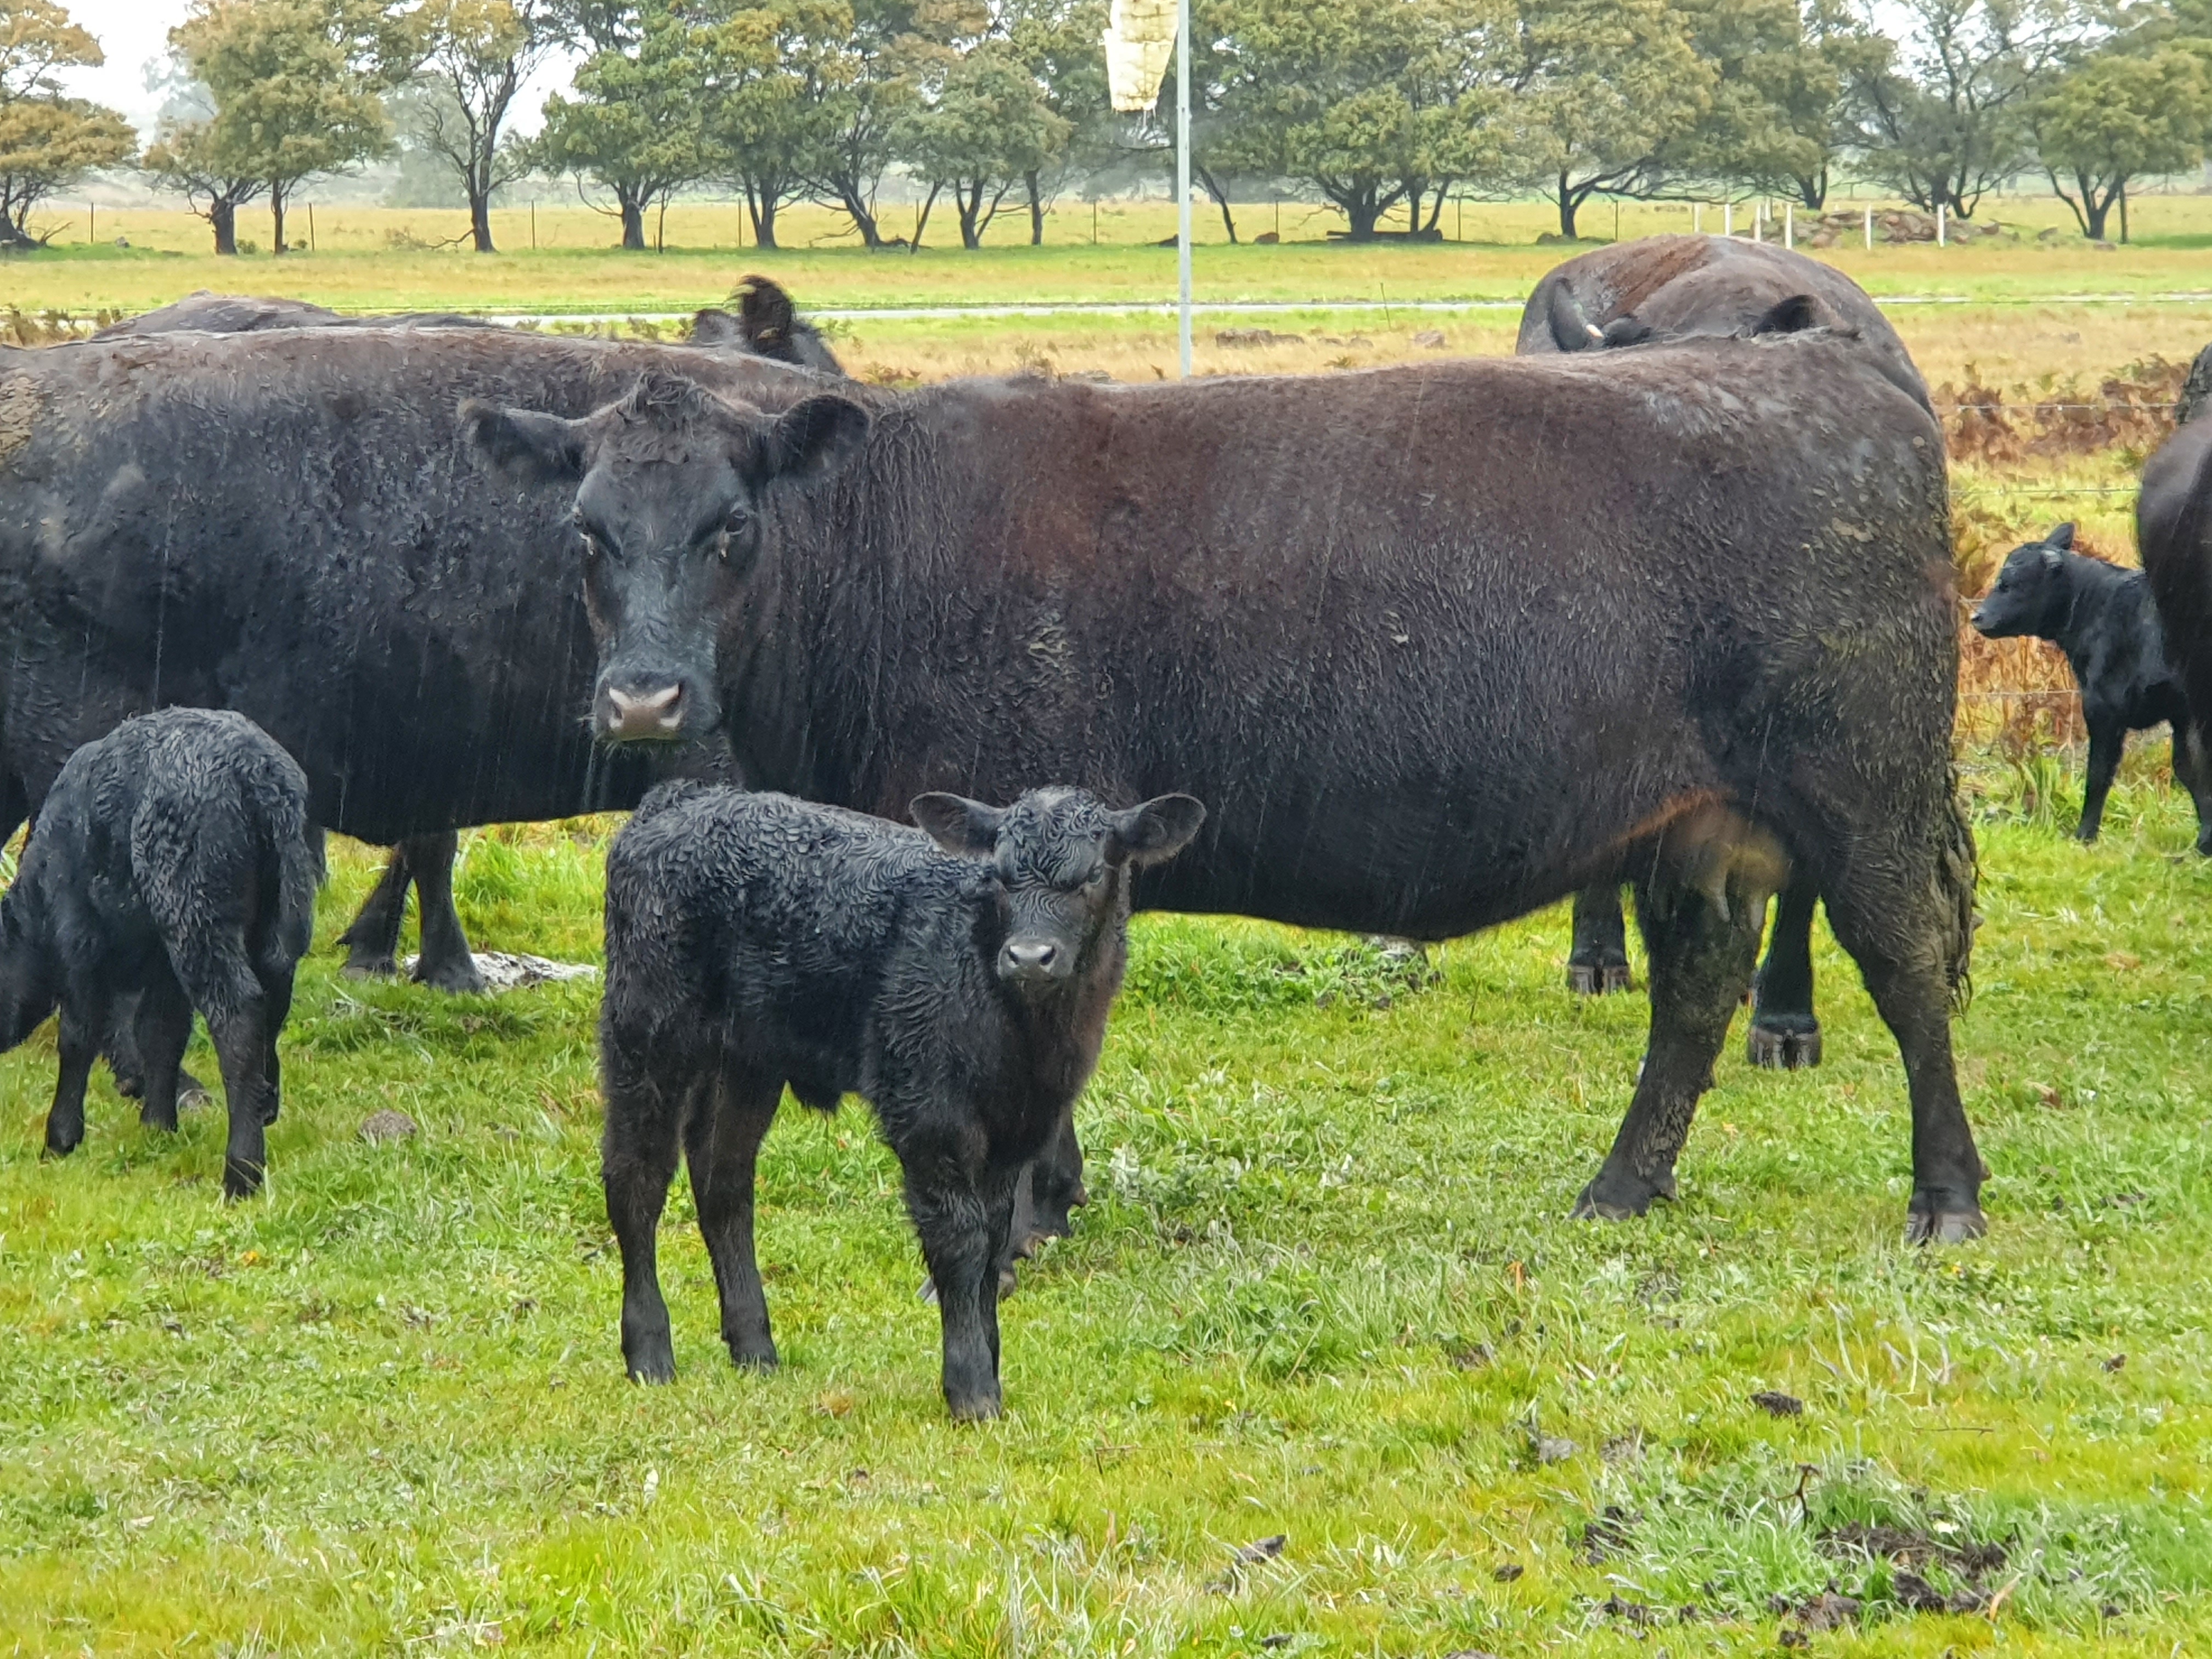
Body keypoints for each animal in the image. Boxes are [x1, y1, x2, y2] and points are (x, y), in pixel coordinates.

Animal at [0, 708, 322, 1198]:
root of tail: (257, 773)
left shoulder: (78, 938)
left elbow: (79, 1035)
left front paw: (60, 1140)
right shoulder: (159, 963)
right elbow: (162, 1032)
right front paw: (157, 1126)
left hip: (194, 907)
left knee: (239, 1014)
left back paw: (242, 1173)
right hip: (279, 908)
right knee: (273, 1000)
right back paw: (264, 1107)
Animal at [462, 334, 1987, 1244]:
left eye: (731, 529)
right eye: (585, 532)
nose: (644, 699)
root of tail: (1823, 361)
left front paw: (1025, 1216)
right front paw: (1056, 1199)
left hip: (1868, 792)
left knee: (1910, 970)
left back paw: (1948, 1195)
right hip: (1695, 827)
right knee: (1697, 992)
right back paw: (1621, 1188)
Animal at [600, 781, 1203, 1418]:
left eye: (1091, 875)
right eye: (999, 875)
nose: (1029, 957)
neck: (1028, 1038)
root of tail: (681, 799)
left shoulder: (1018, 1125)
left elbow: (996, 1237)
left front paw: (991, 1363)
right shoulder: (927, 1109)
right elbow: (960, 1240)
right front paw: (971, 1388)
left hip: (746, 1059)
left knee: (723, 1181)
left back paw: (755, 1347)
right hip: (646, 1026)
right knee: (636, 1178)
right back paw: (649, 1353)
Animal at [1972, 523, 2212, 844]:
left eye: (2010, 583)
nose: (1977, 617)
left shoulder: (2104, 709)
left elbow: (2098, 773)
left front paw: (2084, 835)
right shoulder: (2180, 715)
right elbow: (2188, 768)